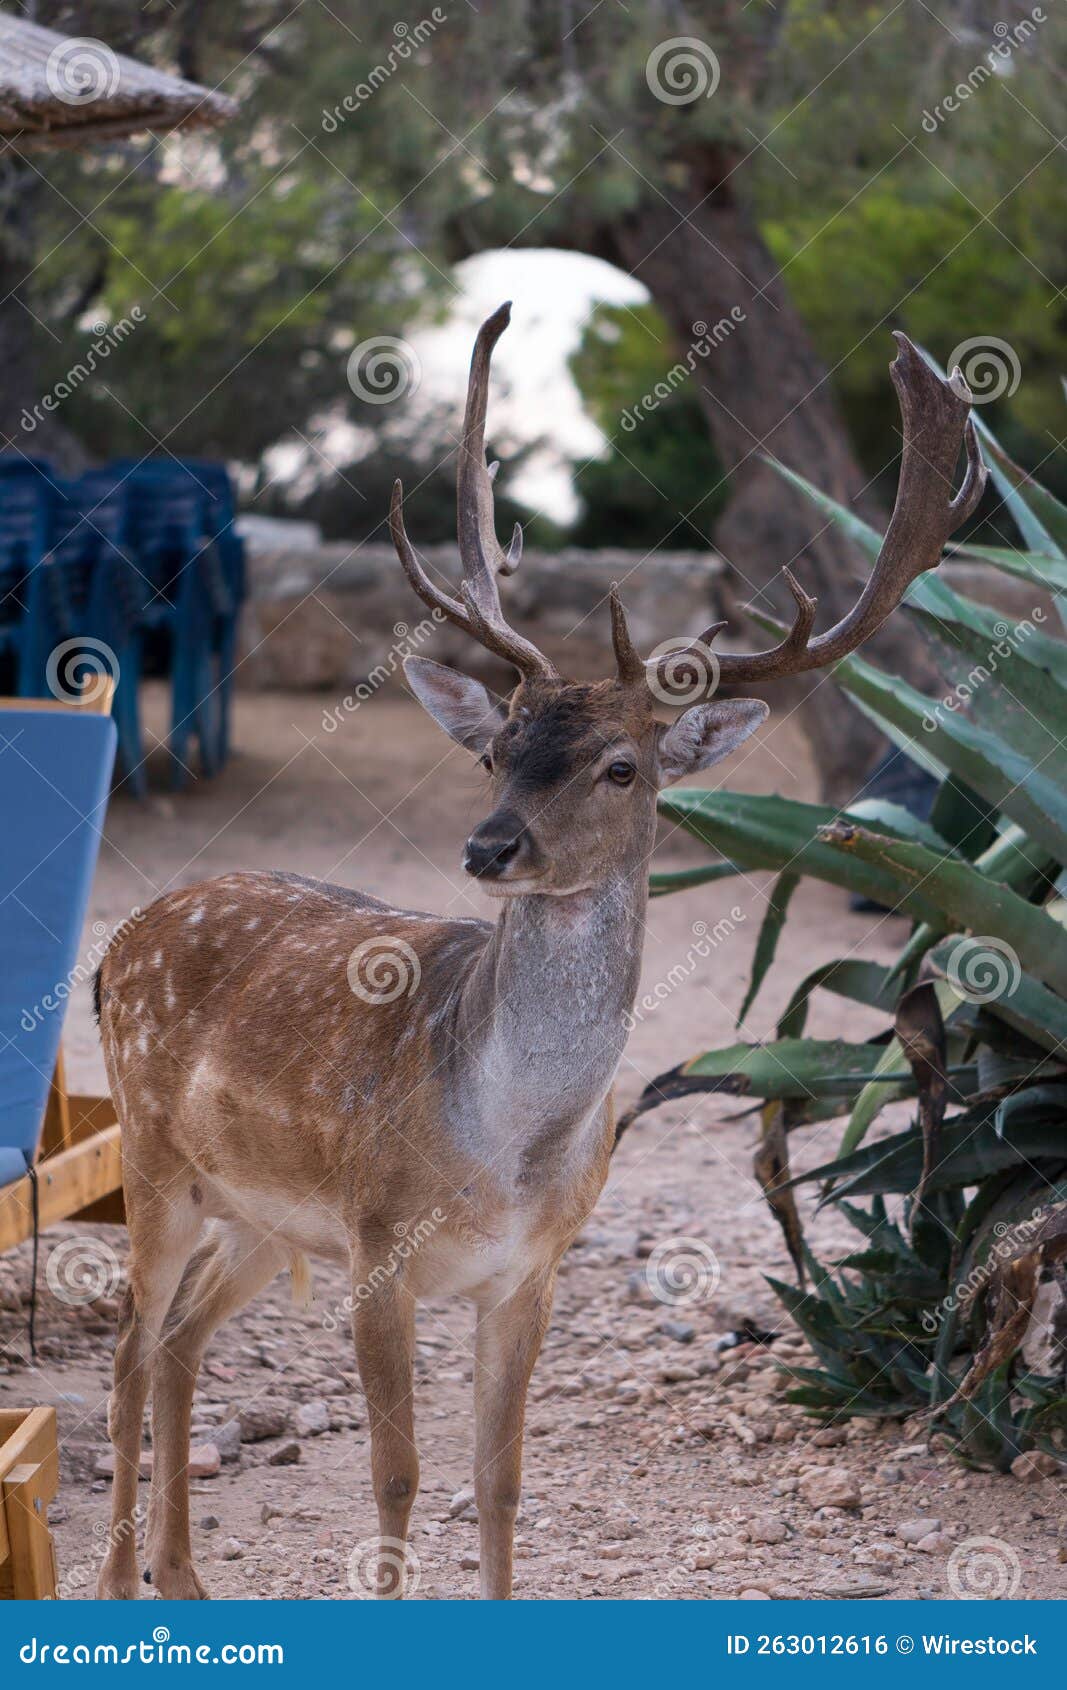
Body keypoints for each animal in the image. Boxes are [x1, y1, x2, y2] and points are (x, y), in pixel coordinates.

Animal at [94, 303, 985, 1601]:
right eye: (494, 749)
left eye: (620, 767)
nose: (488, 843)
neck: (506, 1154)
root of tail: (122, 942)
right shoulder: (378, 1246)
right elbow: (398, 1476)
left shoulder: (532, 1271)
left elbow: (502, 1479)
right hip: (152, 1154)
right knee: (126, 1342)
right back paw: (120, 1580)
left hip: (258, 1215)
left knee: (177, 1339)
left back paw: (185, 1577)